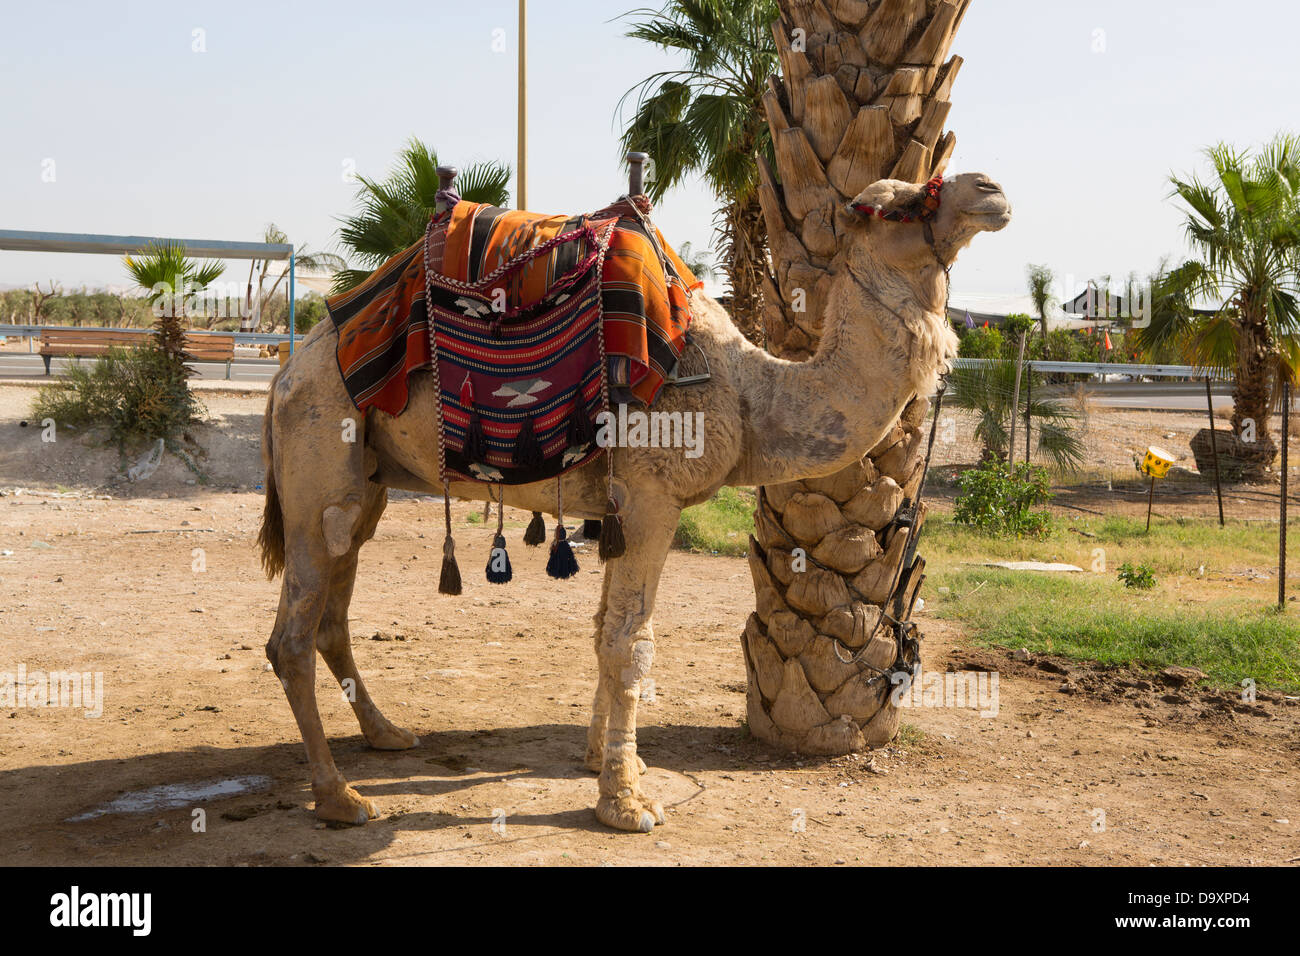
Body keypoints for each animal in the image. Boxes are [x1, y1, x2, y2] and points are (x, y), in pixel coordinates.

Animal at [258, 171, 1011, 831]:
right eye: (900, 205)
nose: (992, 190)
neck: (751, 398)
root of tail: (287, 371)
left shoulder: (620, 505)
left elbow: (602, 631)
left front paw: (603, 763)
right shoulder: (652, 498)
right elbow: (631, 643)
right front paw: (626, 804)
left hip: (366, 485)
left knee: (332, 615)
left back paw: (387, 734)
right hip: (320, 456)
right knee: (290, 636)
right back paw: (339, 798)